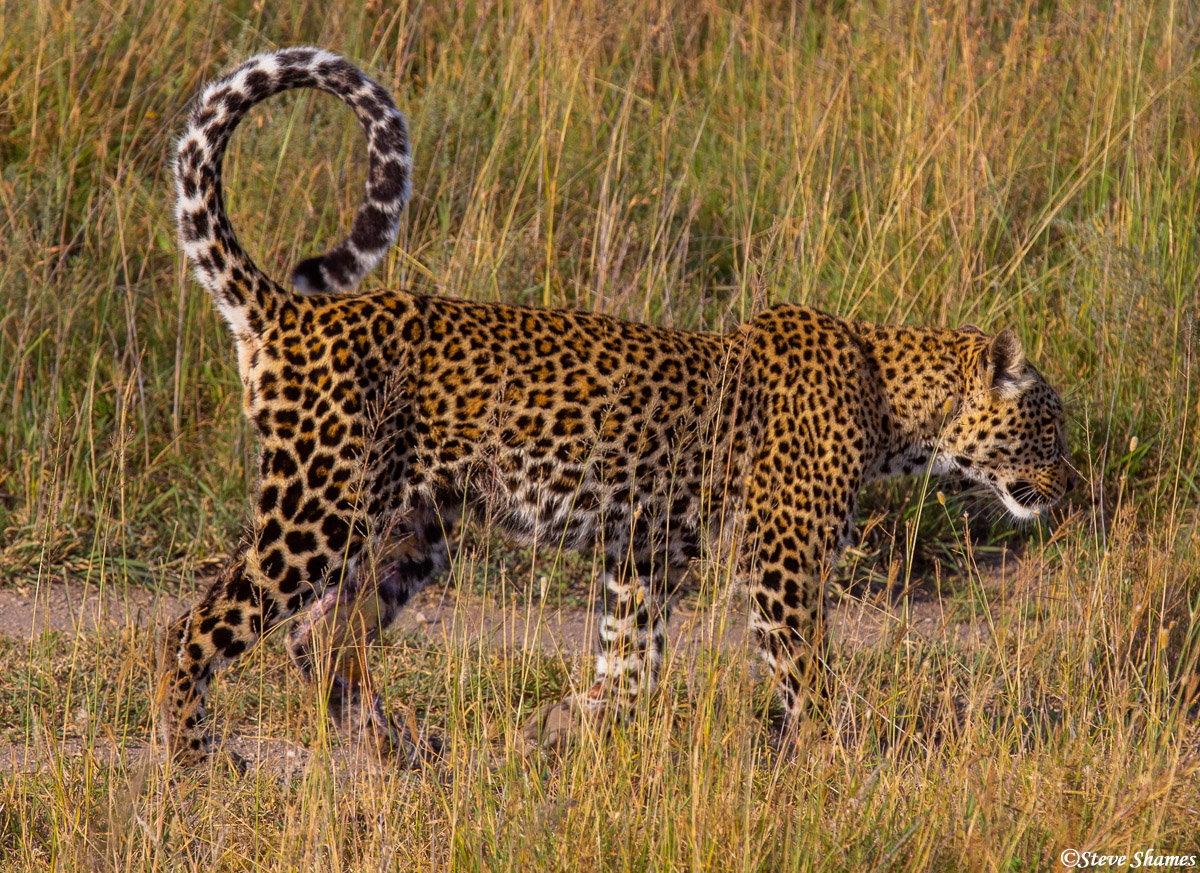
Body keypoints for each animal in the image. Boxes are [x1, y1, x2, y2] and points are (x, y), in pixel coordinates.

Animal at [160, 47, 1077, 766]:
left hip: (411, 528)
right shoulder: (779, 559)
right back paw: (194, 759)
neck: (894, 405)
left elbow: (628, 668)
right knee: (199, 624)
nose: (1071, 484)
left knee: (321, 639)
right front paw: (839, 762)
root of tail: (292, 311)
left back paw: (403, 750)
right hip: (319, 507)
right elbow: (806, 673)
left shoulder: (646, 553)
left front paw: (567, 728)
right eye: (1050, 426)